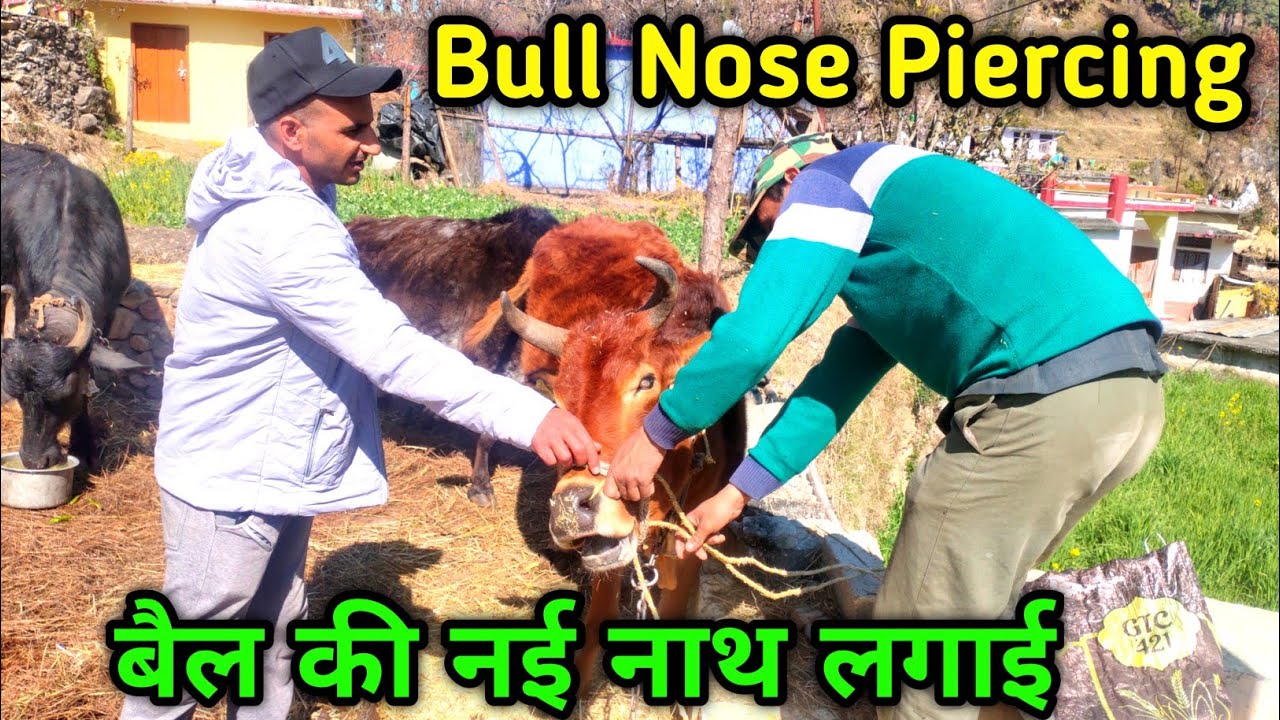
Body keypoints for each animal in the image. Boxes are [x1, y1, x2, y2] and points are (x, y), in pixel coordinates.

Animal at [465, 215, 748, 688]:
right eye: (560, 401)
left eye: (647, 381)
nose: (570, 508)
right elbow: (599, 611)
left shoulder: (694, 541)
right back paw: (480, 484)